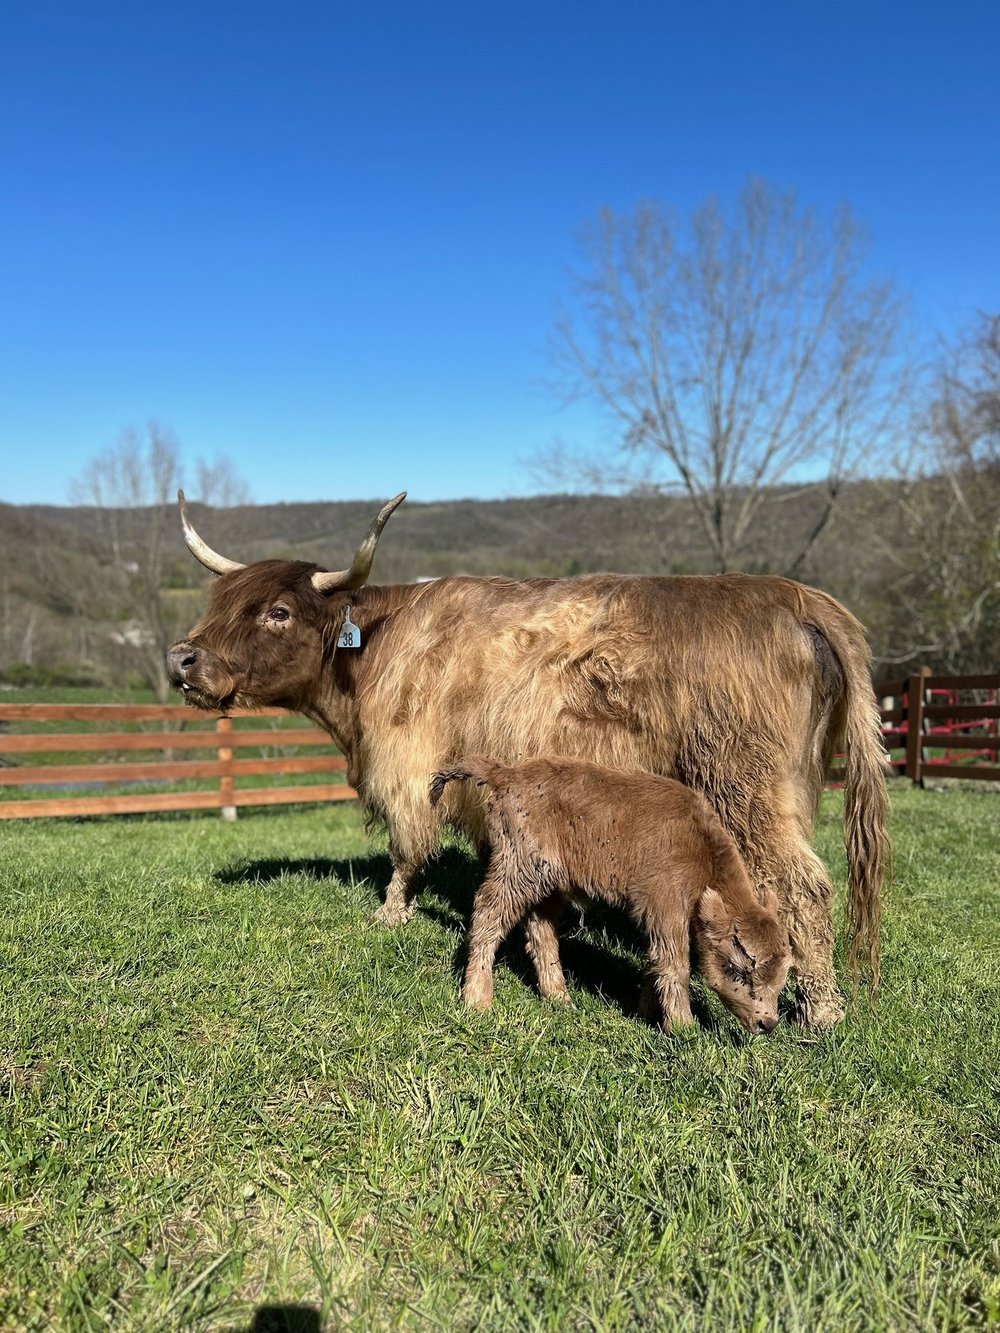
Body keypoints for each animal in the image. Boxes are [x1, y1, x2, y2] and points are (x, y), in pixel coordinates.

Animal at [429, 754, 793, 1034]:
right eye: (739, 969)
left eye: (782, 976)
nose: (768, 1023)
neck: (702, 853)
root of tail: (507, 774)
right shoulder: (668, 910)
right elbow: (675, 966)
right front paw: (683, 1028)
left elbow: (654, 963)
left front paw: (648, 1013)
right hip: (518, 870)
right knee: (488, 915)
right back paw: (478, 999)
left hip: (549, 885)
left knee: (540, 930)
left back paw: (560, 998)